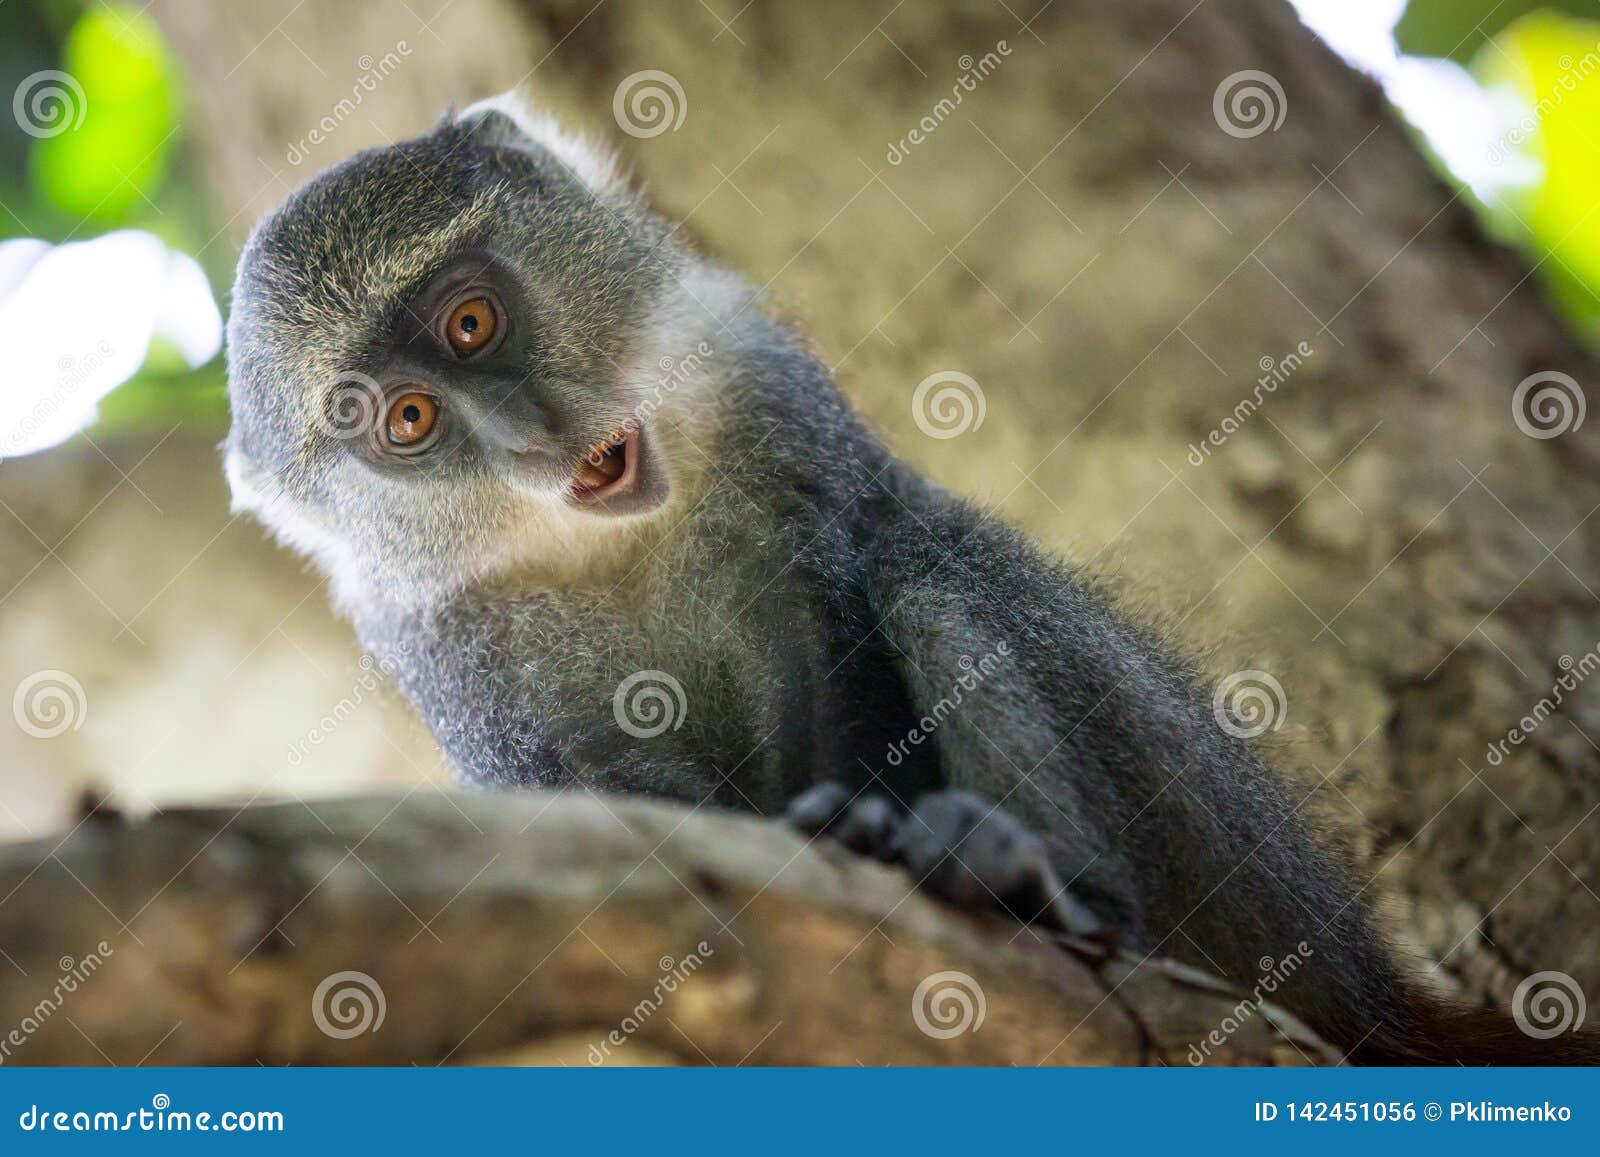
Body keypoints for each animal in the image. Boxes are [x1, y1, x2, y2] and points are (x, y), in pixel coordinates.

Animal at [223, 93, 1593, 1065]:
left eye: (470, 323)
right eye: (407, 422)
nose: (528, 433)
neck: (598, 537)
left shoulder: (757, 378)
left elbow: (834, 608)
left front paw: (877, 823)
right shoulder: (450, 655)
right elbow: (601, 799)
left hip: (1216, 832)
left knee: (929, 564)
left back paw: (1029, 877)